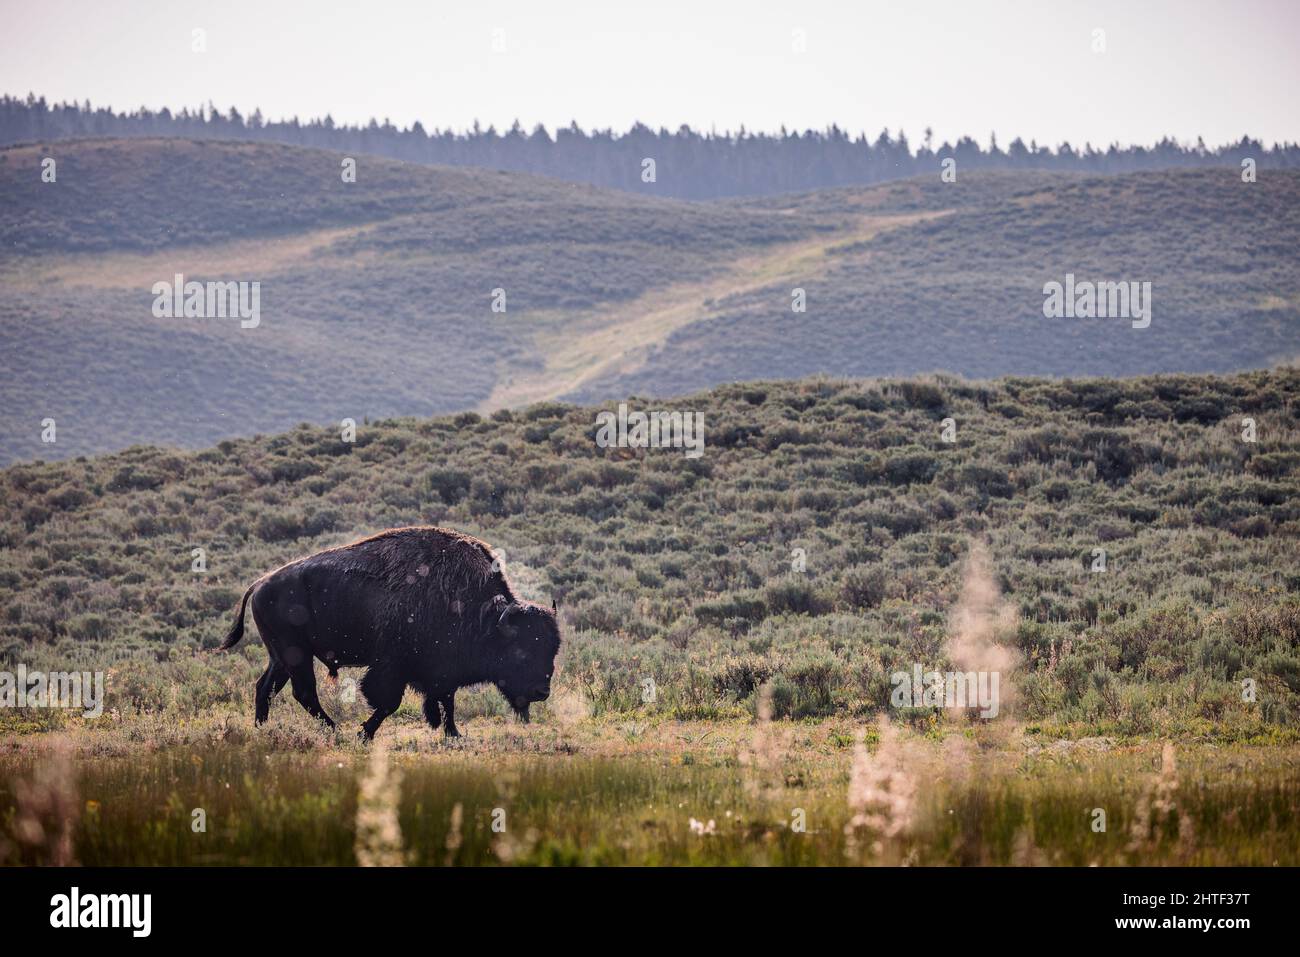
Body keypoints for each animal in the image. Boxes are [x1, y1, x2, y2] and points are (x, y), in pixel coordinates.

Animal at [219, 526, 561, 739]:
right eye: (520, 649)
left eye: (552, 648)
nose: (541, 691)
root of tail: (260, 583)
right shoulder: (393, 667)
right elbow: (389, 702)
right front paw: (364, 733)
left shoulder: (441, 671)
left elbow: (446, 701)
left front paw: (454, 733)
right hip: (296, 654)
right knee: (303, 692)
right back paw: (334, 730)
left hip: (281, 656)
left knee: (266, 688)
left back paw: (263, 729)